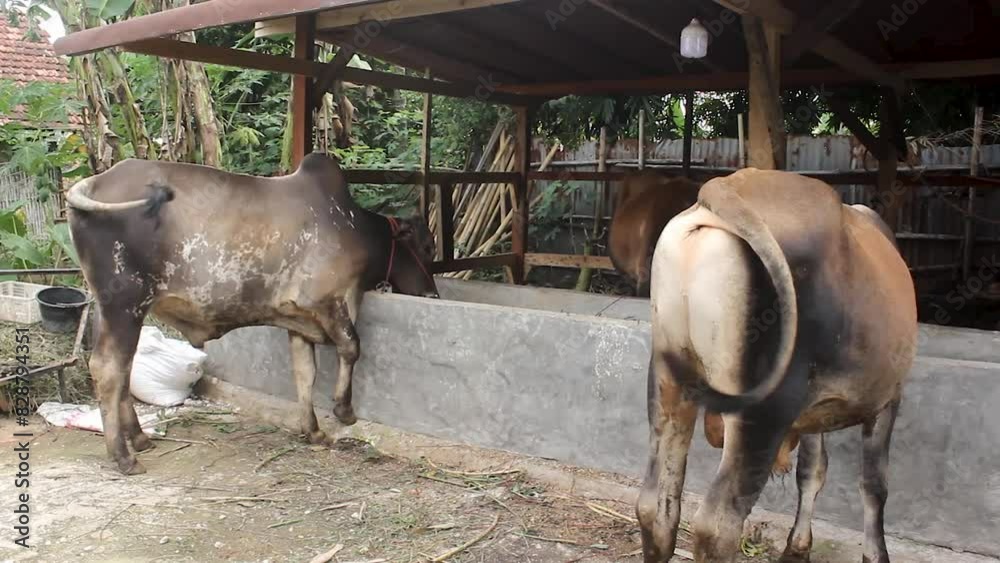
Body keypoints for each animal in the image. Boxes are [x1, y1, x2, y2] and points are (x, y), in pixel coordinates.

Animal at [66, 153, 439, 475]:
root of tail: (95, 182)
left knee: (123, 369)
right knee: (108, 369)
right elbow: (351, 347)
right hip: (126, 305)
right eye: (427, 247)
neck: (354, 228)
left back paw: (139, 439)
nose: (433, 294)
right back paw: (123, 456)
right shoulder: (327, 302)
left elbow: (305, 373)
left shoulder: (298, 318)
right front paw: (344, 411)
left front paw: (313, 430)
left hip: (111, 308)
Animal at [636, 168, 917, 563]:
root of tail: (730, 185)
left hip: (668, 387)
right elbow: (874, 486)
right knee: (717, 524)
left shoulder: (815, 409)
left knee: (655, 507)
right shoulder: (888, 397)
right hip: (764, 408)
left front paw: (797, 548)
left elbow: (813, 471)